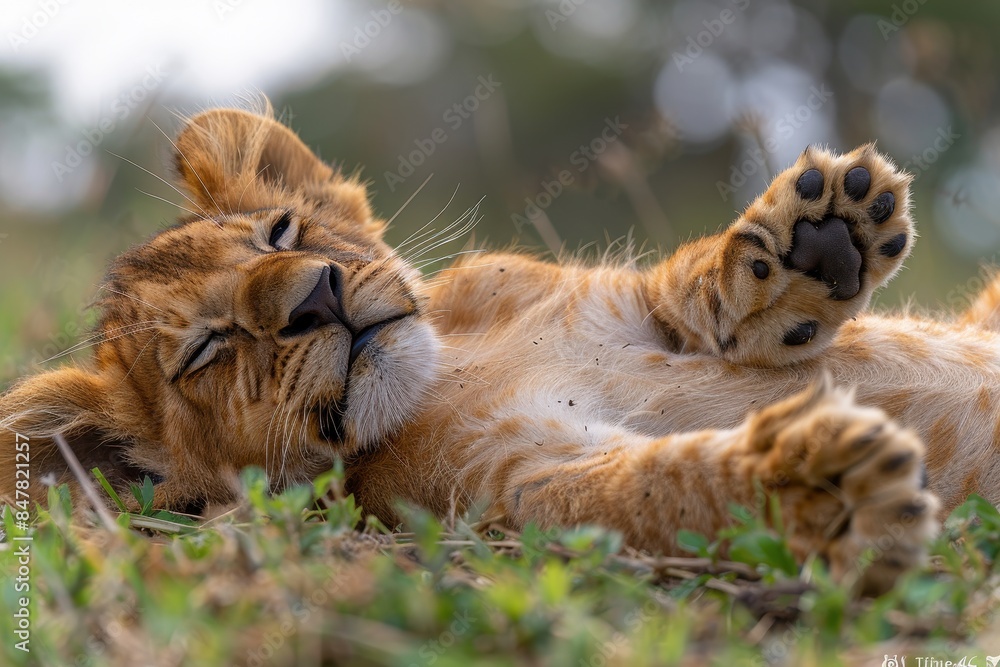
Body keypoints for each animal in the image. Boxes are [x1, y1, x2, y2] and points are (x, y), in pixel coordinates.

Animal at [9, 105, 1000, 594]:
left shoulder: (610, 300)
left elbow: (690, 285)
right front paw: (823, 490)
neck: (450, 365)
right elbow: (658, 486)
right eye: (206, 350)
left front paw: (819, 234)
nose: (316, 293)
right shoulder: (509, 489)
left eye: (279, 231)